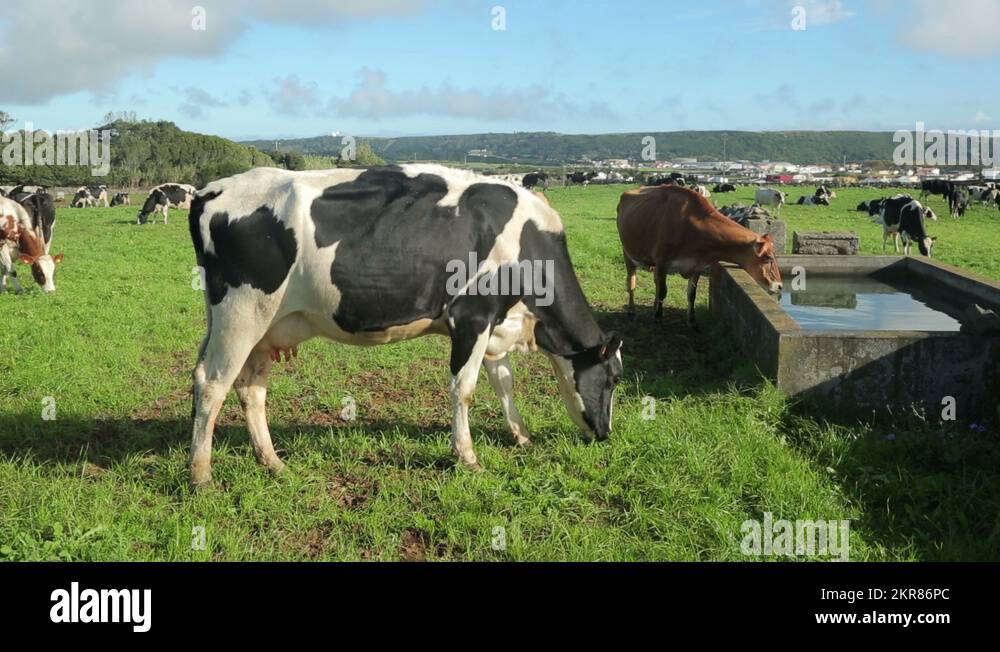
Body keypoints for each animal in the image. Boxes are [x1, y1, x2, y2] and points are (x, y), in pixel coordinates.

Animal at [186, 165, 624, 488]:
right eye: (613, 378)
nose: (606, 434)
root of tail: (211, 190)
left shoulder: (496, 325)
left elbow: (504, 382)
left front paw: (521, 436)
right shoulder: (472, 316)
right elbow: (464, 389)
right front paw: (467, 456)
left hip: (265, 327)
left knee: (250, 387)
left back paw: (273, 461)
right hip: (241, 315)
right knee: (212, 383)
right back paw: (201, 475)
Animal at [617, 185, 783, 331]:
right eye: (768, 257)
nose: (780, 286)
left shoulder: (697, 265)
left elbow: (691, 294)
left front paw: (692, 321)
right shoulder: (663, 261)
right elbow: (663, 291)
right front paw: (657, 320)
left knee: (656, 283)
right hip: (628, 252)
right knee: (631, 282)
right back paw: (632, 311)